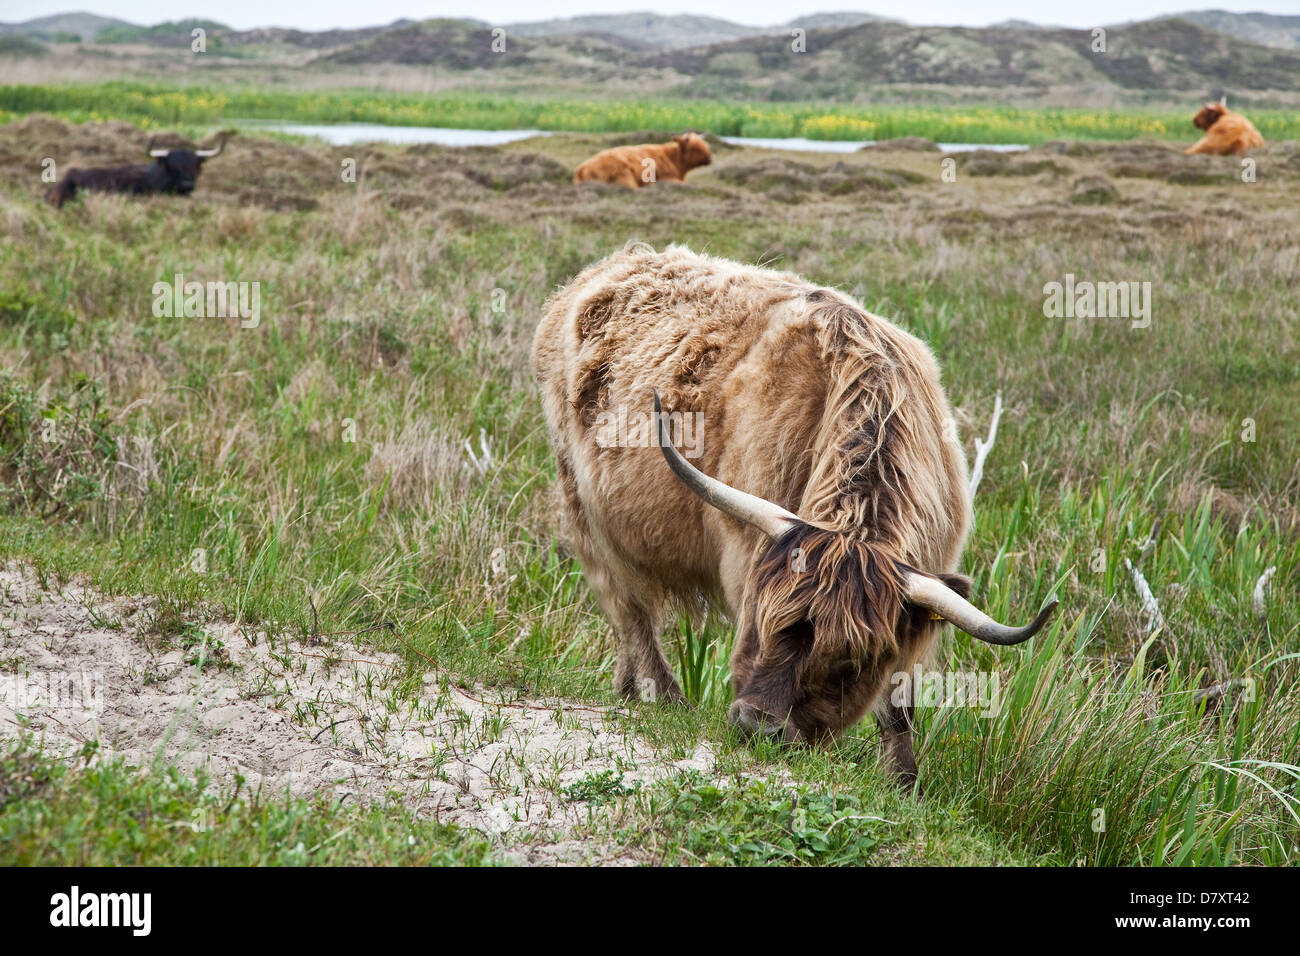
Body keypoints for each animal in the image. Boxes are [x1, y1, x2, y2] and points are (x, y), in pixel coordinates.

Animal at [532, 243, 1057, 789]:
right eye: (764, 621)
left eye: (850, 659)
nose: (756, 726)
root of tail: (614, 263)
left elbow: (899, 705)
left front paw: (903, 781)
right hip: (582, 507)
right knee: (627, 606)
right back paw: (661, 695)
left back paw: (629, 688)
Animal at [573, 132, 712, 189]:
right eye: (695, 148)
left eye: (705, 144)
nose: (709, 158)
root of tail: (582, 168)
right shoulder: (668, 178)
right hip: (625, 177)